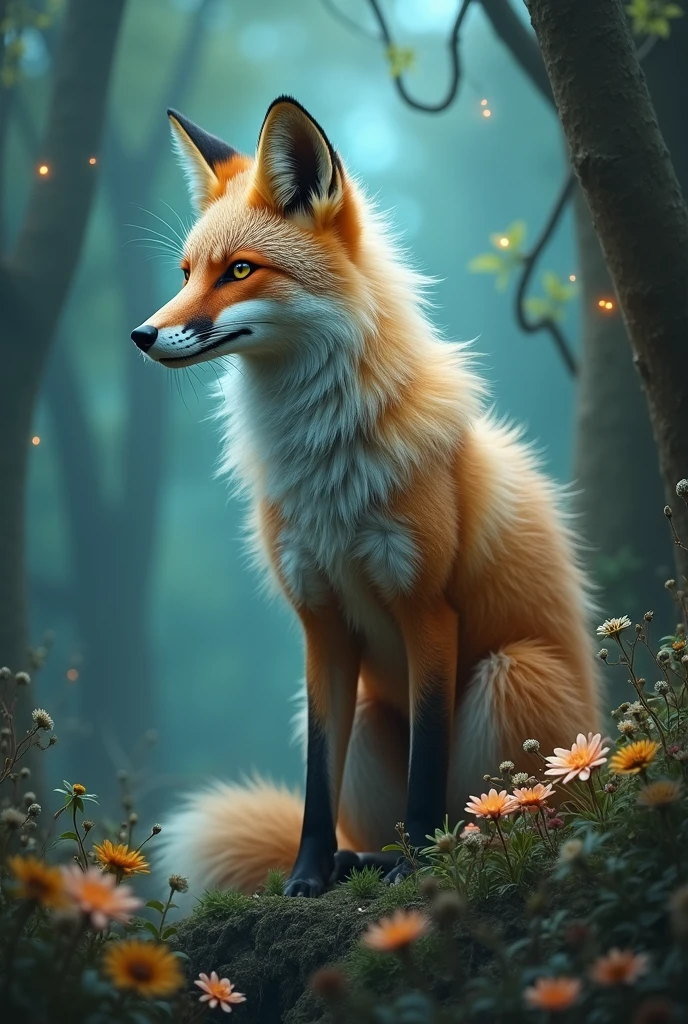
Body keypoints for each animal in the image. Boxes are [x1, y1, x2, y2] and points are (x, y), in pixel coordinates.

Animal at [131, 96, 601, 898]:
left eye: (240, 271)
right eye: (187, 272)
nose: (141, 334)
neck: (328, 473)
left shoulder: (426, 608)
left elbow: (428, 769)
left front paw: (422, 868)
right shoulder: (318, 620)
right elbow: (316, 781)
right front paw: (306, 878)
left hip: (511, 676)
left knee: (509, 812)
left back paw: (450, 848)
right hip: (368, 714)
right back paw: (365, 860)